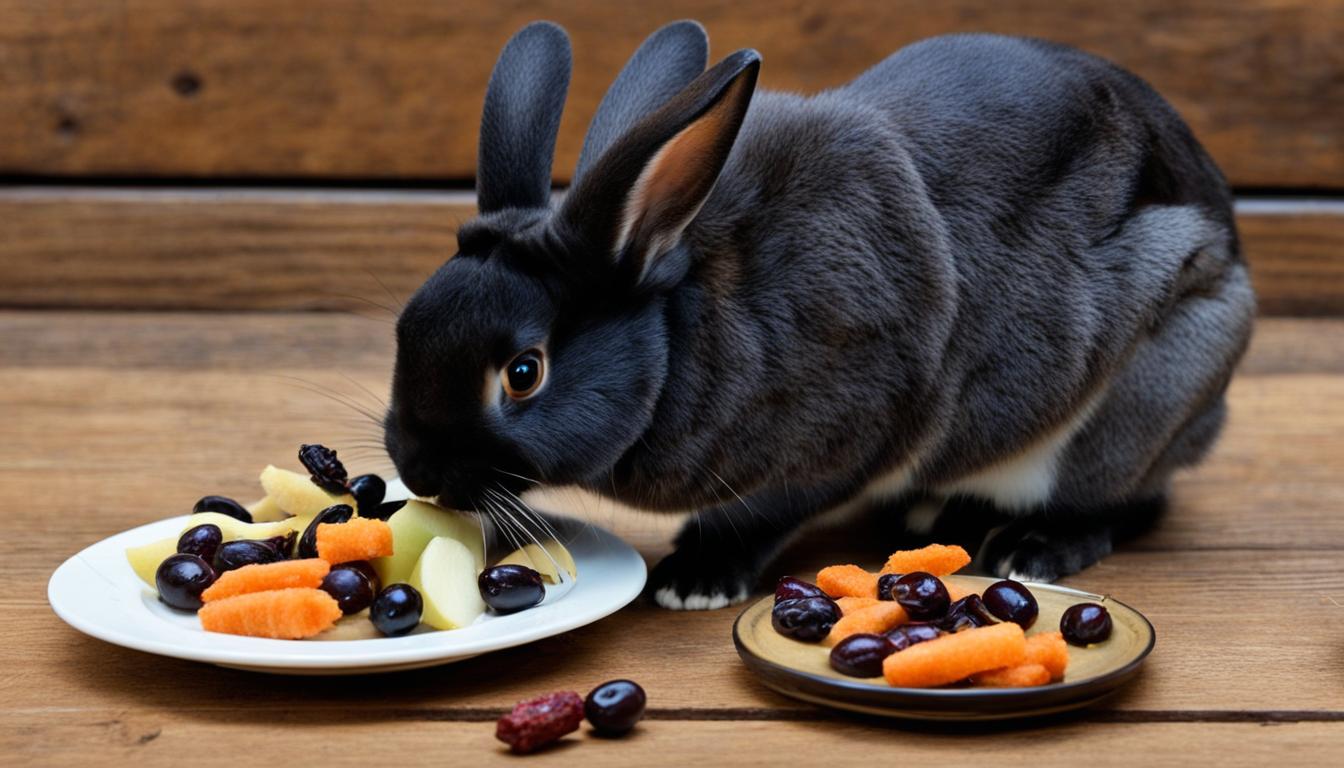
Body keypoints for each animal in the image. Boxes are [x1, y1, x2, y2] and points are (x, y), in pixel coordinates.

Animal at [384, 20, 1255, 609]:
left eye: (522, 373)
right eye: (405, 328)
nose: (417, 467)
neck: (680, 333)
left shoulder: (842, 439)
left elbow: (766, 515)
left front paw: (694, 579)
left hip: (1150, 382)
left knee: (1123, 499)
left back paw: (1031, 548)